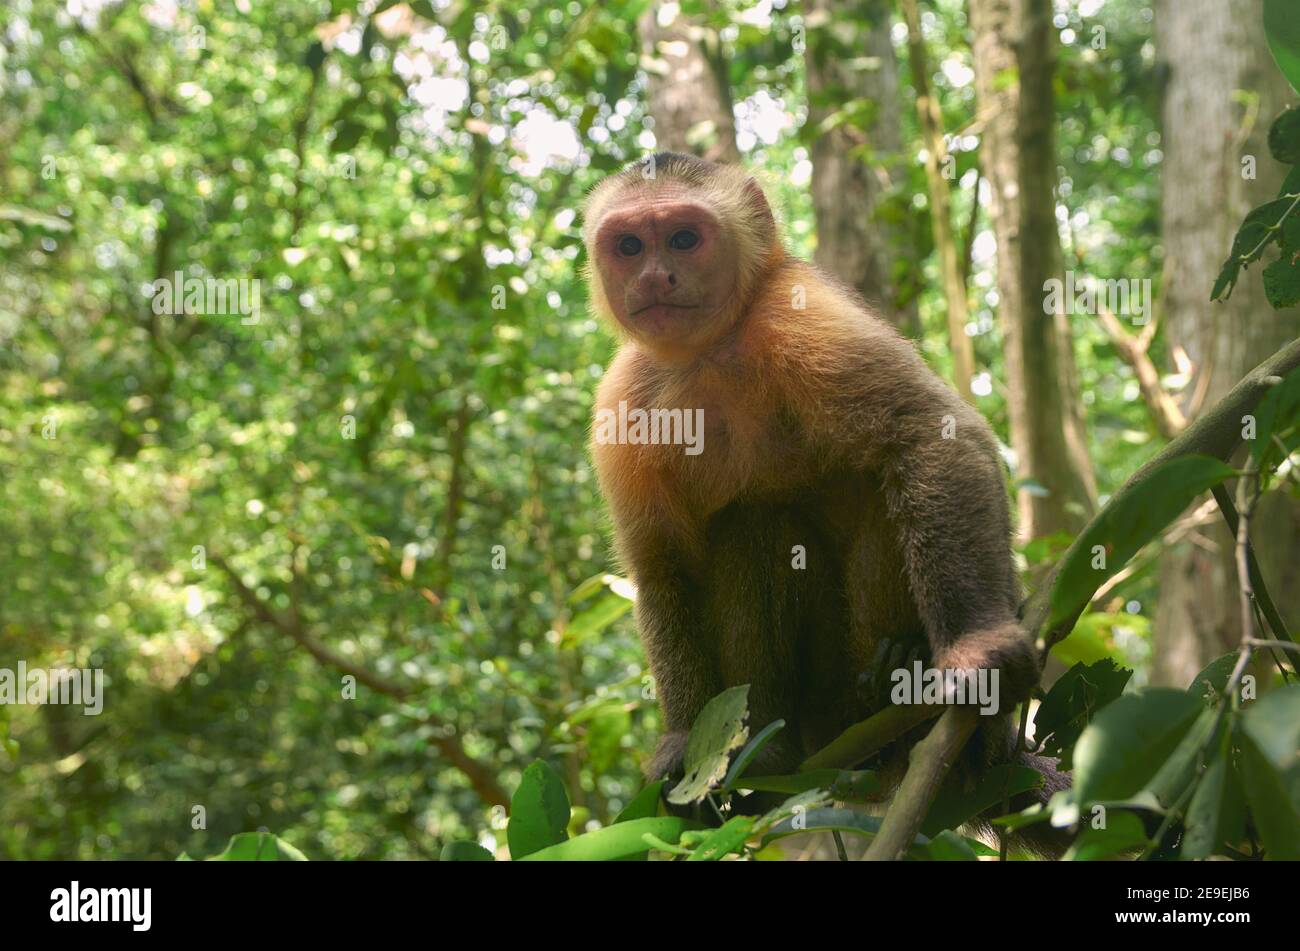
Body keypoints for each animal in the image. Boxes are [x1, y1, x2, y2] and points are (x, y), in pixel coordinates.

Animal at [582, 152, 1066, 844]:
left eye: (683, 238)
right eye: (628, 246)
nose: (654, 275)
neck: (711, 351)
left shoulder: (799, 313)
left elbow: (931, 432)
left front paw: (977, 647)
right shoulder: (623, 397)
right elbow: (662, 566)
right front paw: (680, 742)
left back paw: (904, 678)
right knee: (754, 526)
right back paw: (768, 750)